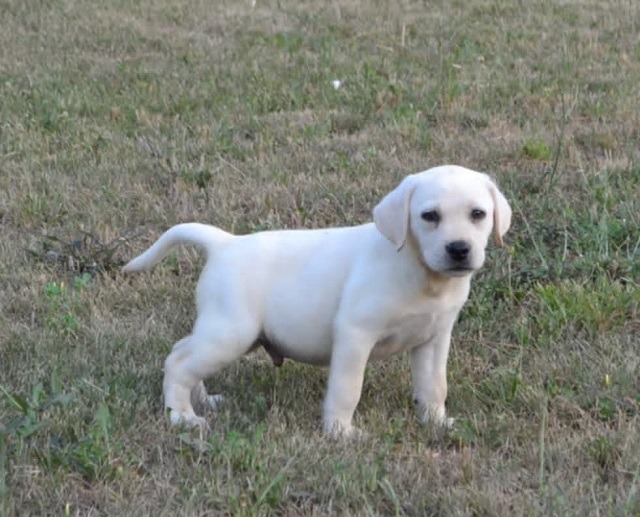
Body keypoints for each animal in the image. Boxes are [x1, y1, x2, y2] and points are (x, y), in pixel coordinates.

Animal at [124, 164, 510, 436]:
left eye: (478, 214)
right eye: (429, 216)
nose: (459, 249)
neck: (421, 272)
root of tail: (224, 243)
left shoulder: (433, 339)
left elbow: (434, 386)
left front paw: (436, 423)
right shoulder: (355, 334)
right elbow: (347, 388)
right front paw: (340, 432)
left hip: (222, 331)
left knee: (183, 351)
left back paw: (203, 400)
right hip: (230, 333)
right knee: (178, 363)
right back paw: (183, 417)